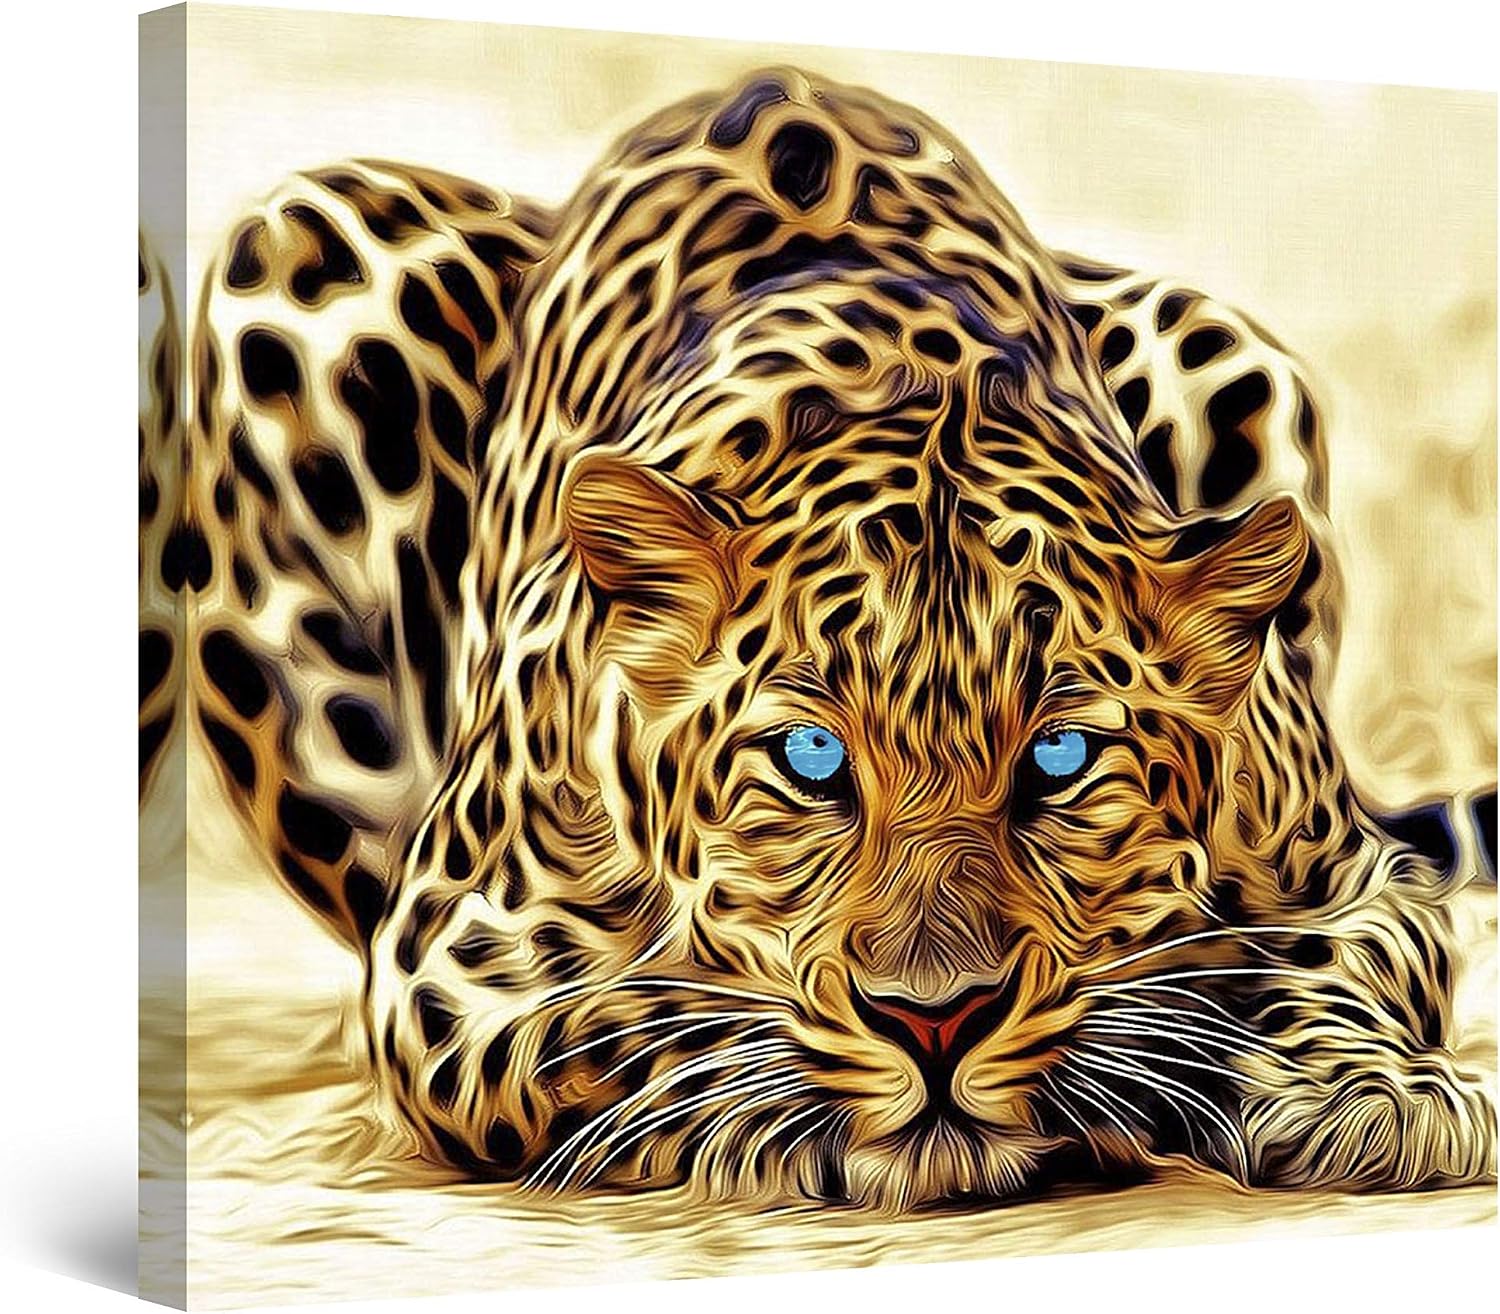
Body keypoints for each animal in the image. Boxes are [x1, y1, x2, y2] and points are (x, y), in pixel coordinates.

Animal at [140, 66, 1496, 1210]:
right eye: (811, 762)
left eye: (1060, 761)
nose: (937, 1020)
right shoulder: (450, 960)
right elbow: (627, 1026)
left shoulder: (1354, 873)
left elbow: (1343, 956)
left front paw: (1374, 1094)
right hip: (295, 250)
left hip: (1224, 341)